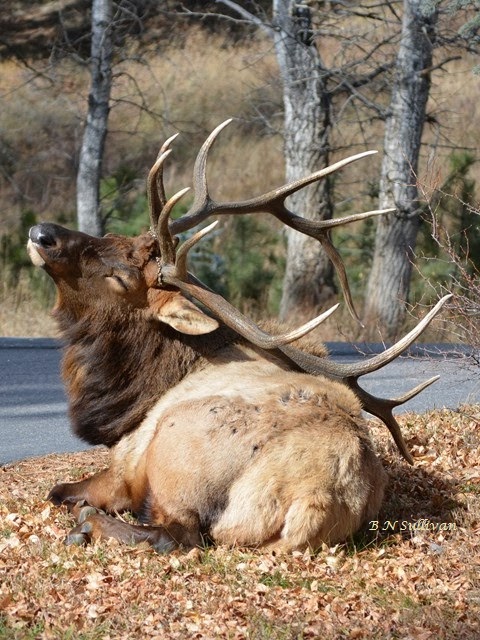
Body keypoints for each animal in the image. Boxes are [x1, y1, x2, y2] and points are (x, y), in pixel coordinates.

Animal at [27, 120, 450, 553]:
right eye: (111, 235)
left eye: (120, 278)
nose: (42, 232)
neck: (131, 399)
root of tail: (315, 497)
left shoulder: (124, 468)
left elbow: (58, 491)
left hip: (176, 453)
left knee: (176, 535)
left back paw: (87, 525)